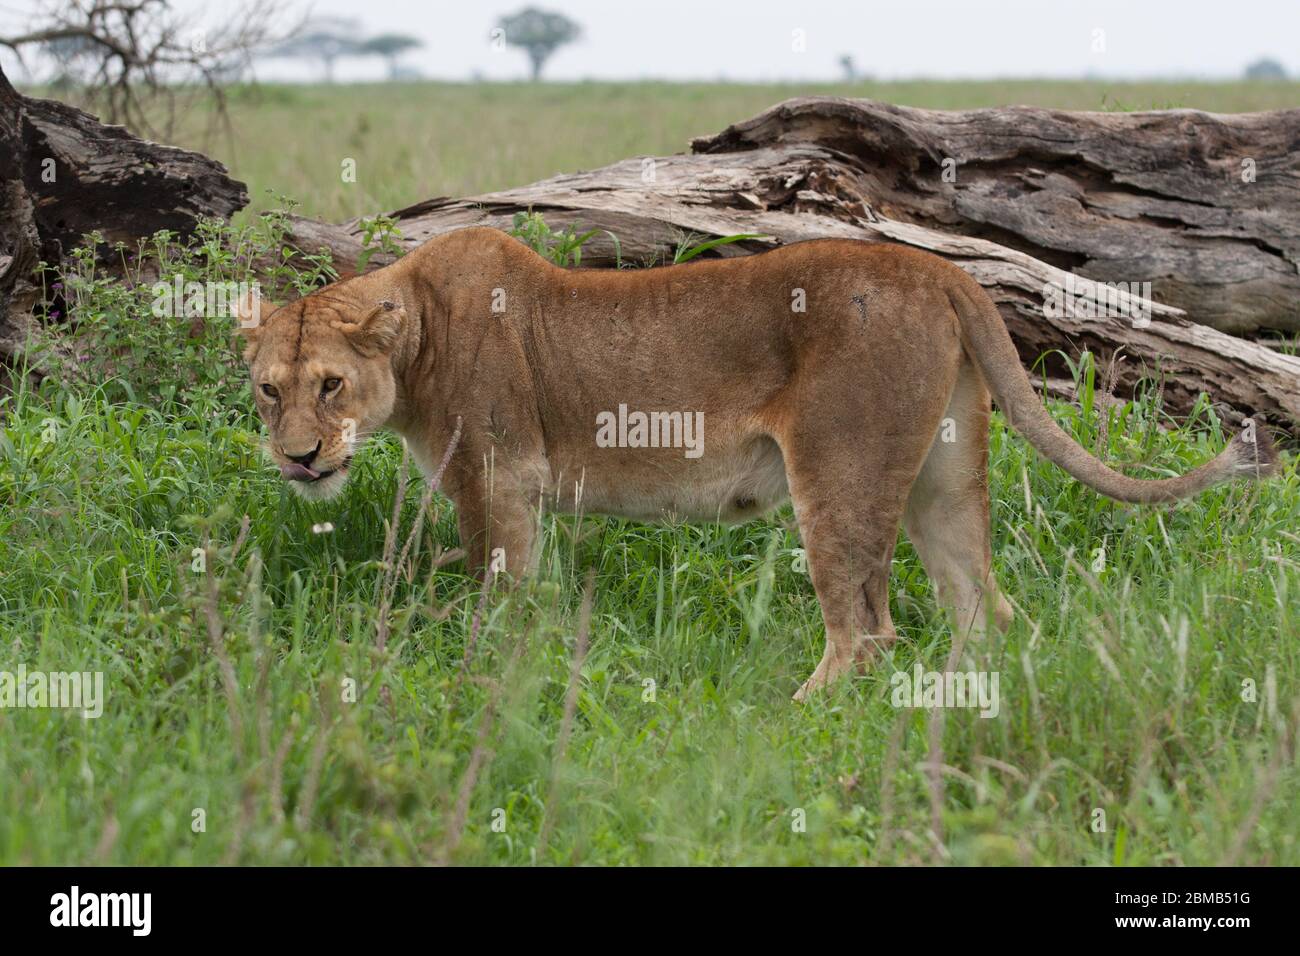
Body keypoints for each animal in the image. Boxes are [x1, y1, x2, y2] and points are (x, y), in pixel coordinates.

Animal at [236, 226, 1278, 700]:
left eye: (330, 385)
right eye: (269, 391)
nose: (300, 459)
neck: (415, 344)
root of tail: (941, 269)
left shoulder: (502, 479)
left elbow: (503, 594)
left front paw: (492, 676)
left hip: (840, 470)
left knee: (866, 628)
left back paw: (798, 710)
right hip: (943, 475)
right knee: (984, 608)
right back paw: (957, 703)